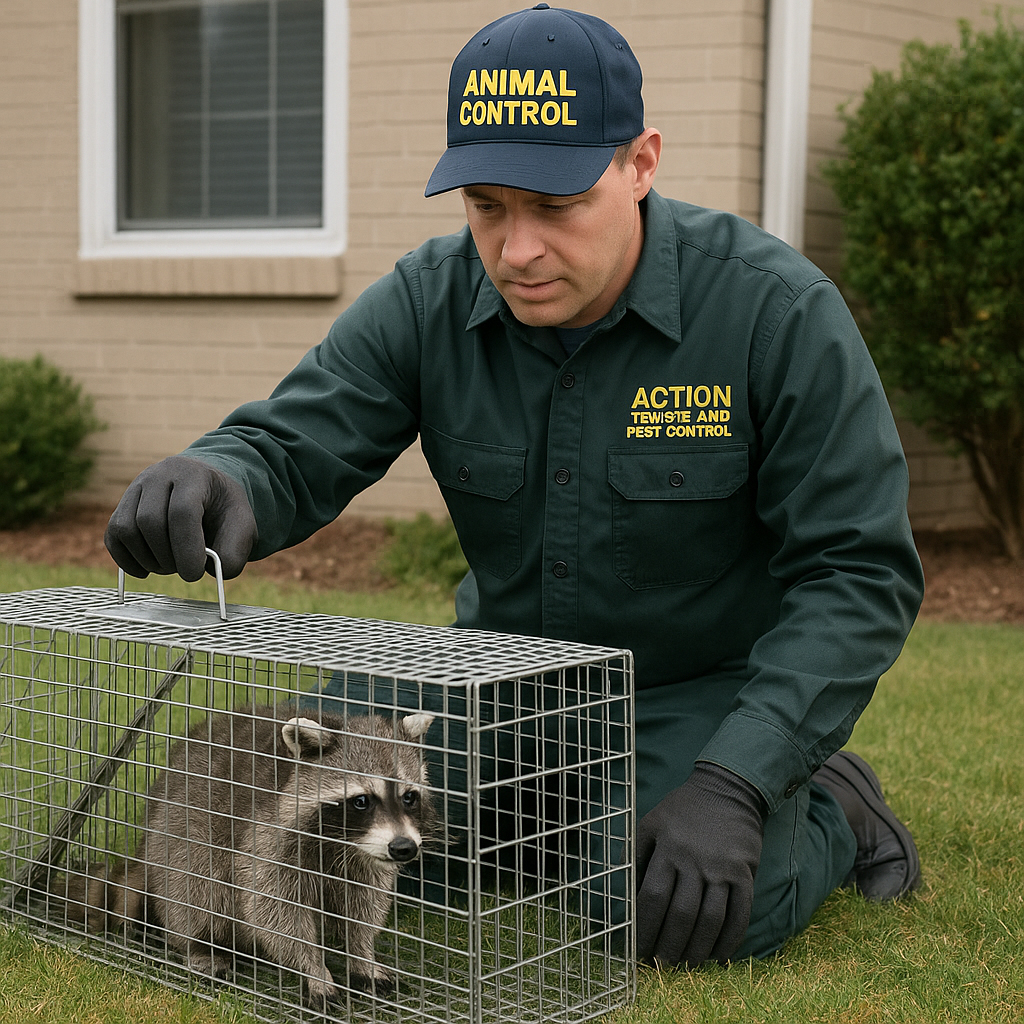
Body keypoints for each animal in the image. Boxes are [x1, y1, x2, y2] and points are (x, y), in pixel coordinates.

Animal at [74, 705, 434, 1009]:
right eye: (361, 801)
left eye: (409, 797)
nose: (404, 848)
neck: (340, 842)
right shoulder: (268, 837)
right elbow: (275, 912)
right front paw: (313, 969)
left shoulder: (365, 857)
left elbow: (362, 905)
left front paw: (361, 954)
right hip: (178, 833)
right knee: (196, 891)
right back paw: (200, 946)